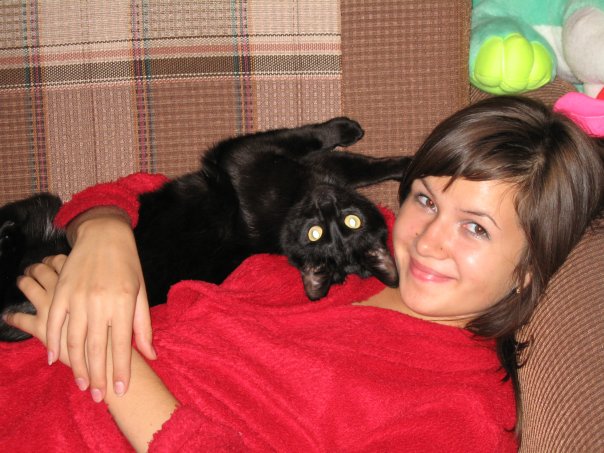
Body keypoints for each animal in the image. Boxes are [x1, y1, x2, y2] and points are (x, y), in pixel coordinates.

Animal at [0, 117, 410, 341]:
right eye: (347, 222)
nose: (325, 207)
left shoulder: (258, 156)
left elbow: (328, 148)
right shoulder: (290, 161)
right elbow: (350, 157)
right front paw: (393, 155)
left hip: (42, 207)